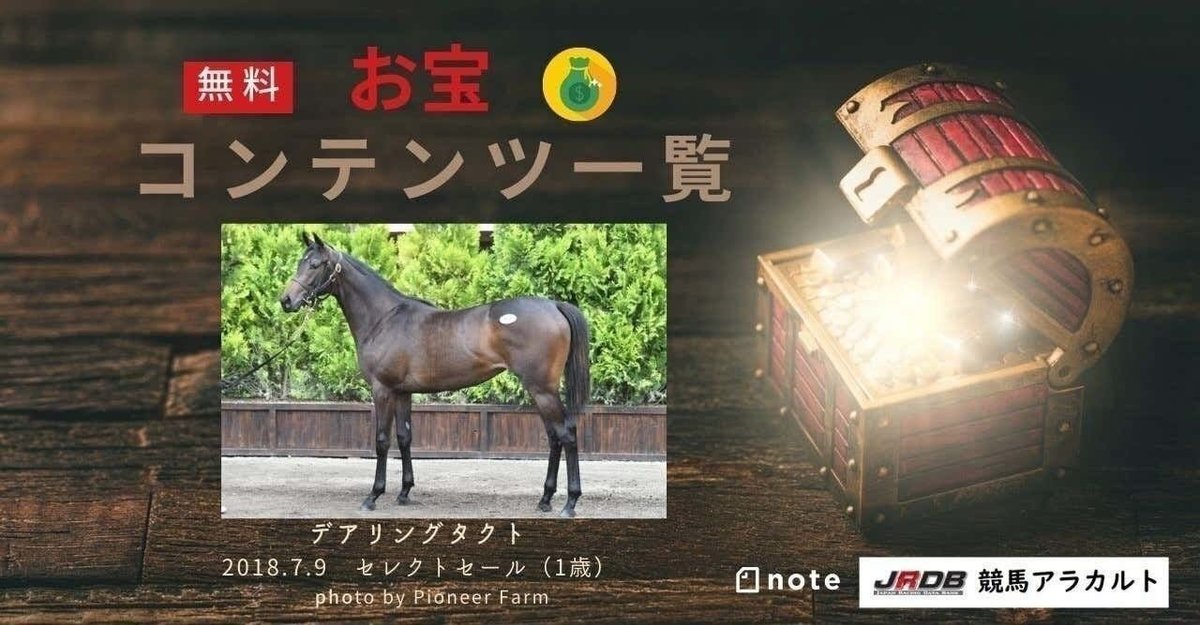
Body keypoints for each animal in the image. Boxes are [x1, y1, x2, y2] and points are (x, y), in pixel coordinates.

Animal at [278, 232, 590, 517]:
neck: (384, 318)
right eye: (300, 262)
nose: (286, 300)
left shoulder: (382, 390)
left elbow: (382, 440)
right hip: (540, 390)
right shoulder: (402, 392)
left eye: (315, 264)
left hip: (542, 389)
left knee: (567, 433)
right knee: (554, 437)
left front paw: (373, 496)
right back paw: (545, 499)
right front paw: (404, 492)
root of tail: (554, 306)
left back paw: (570, 504)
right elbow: (404, 437)